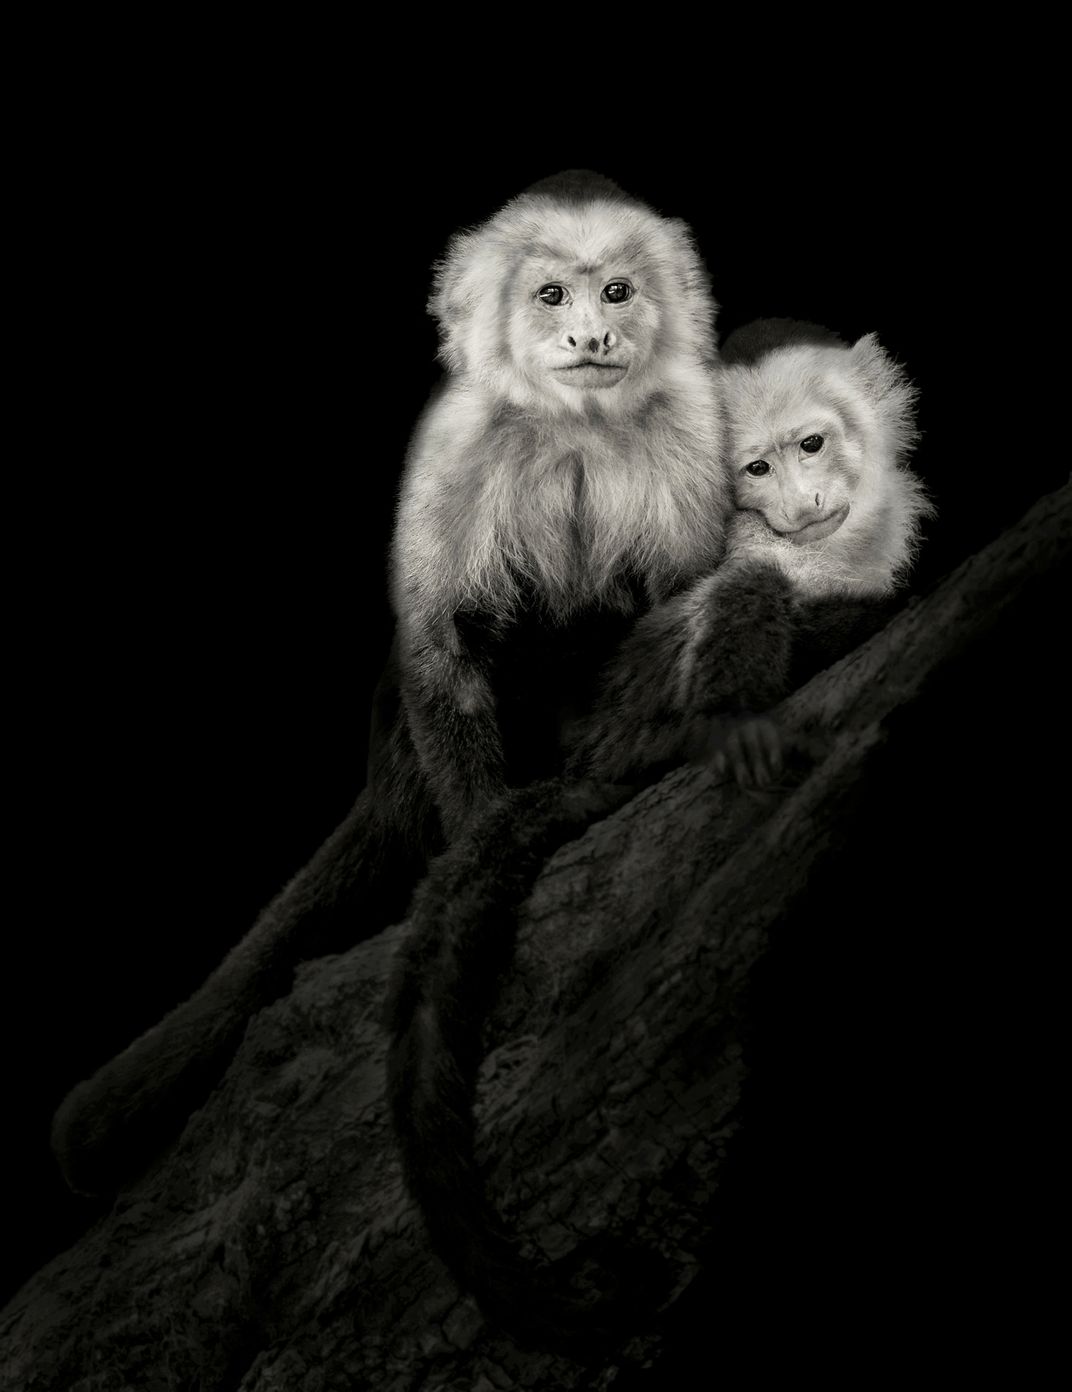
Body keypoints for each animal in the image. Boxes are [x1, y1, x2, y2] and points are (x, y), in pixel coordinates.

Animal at [51, 171, 730, 1197]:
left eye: (616, 291)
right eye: (551, 297)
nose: (591, 338)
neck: (572, 428)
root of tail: (381, 782)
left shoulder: (690, 436)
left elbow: (692, 603)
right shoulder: (454, 446)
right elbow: (440, 643)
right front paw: (491, 834)